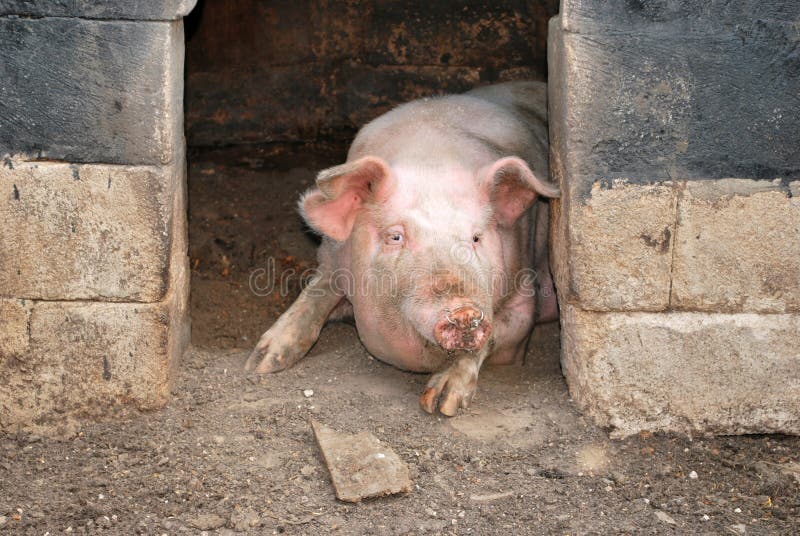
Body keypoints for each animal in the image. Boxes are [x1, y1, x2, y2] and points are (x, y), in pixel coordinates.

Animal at [245, 81, 559, 416]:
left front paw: (441, 402)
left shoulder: (524, 298)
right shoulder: (332, 258)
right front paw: (259, 363)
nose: (463, 310)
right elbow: (315, 295)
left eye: (476, 237)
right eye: (395, 237)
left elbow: (492, 337)